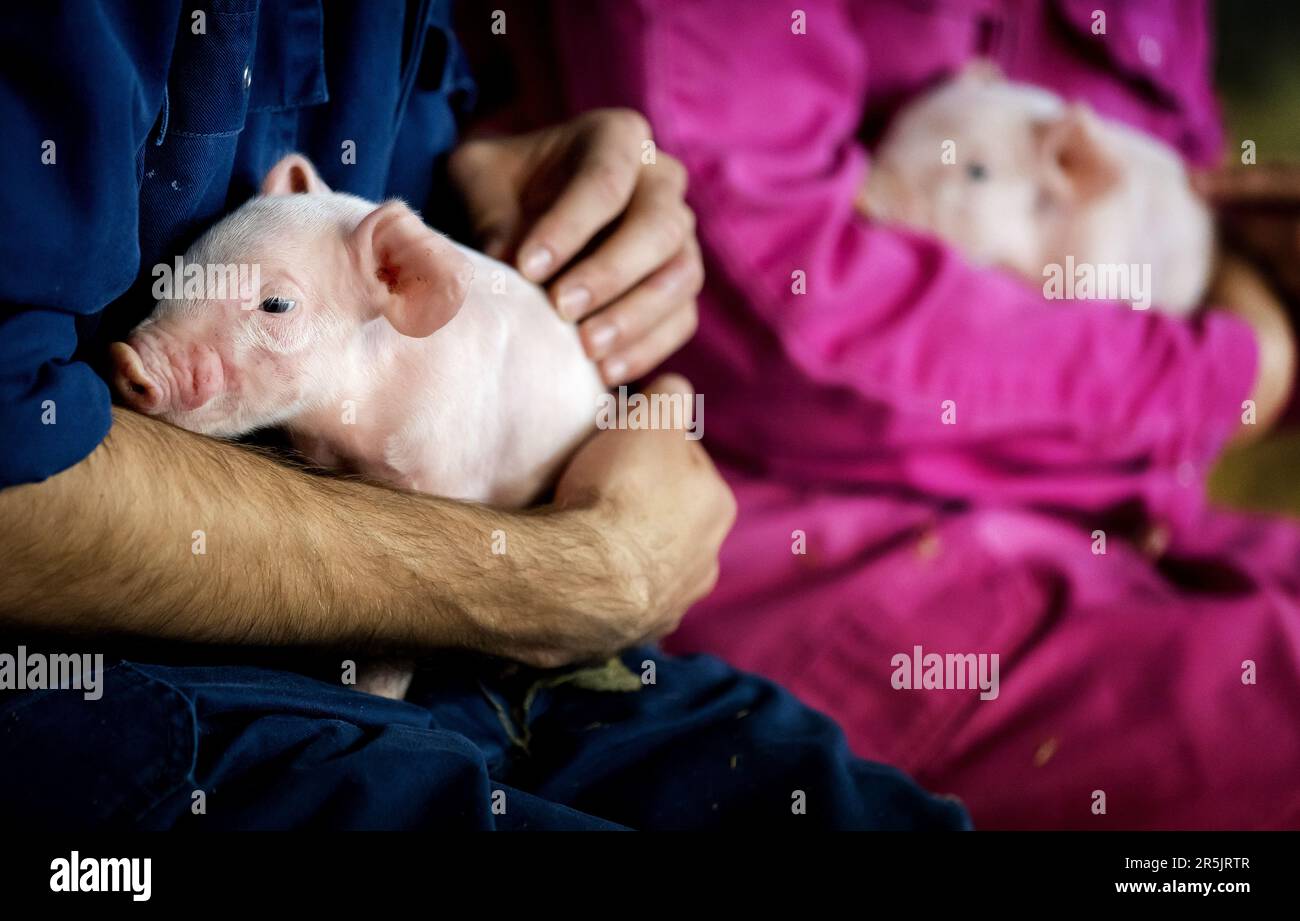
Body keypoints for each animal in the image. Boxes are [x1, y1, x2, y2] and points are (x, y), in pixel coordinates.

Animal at [110, 153, 606, 698]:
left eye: (277, 304)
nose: (126, 358)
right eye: (178, 272)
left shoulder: (448, 478)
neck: (348, 430)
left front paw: (372, 695)